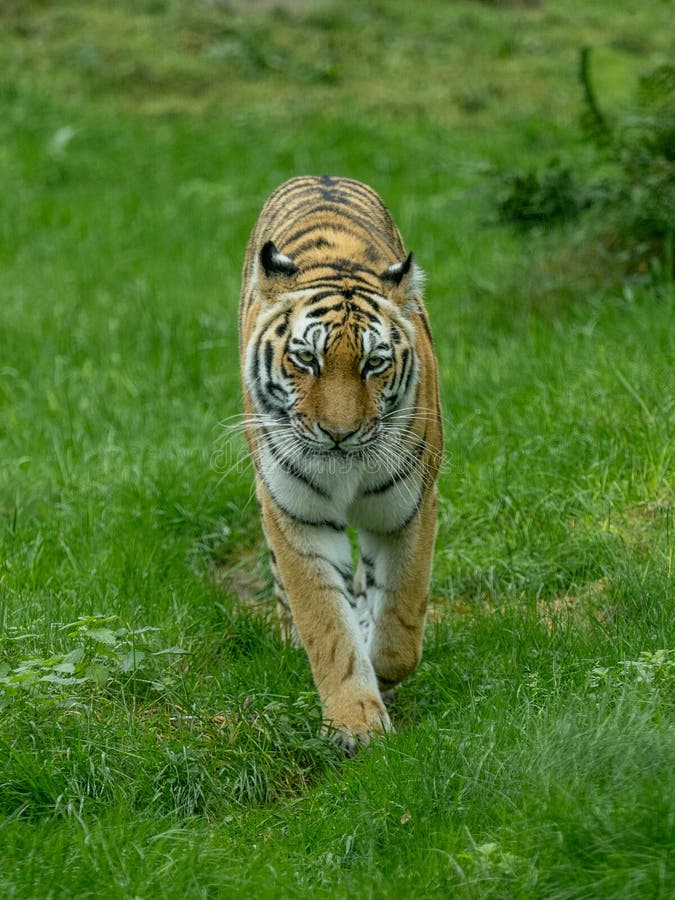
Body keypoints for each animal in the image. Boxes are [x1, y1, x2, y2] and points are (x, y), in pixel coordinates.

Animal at [238, 175, 443, 752]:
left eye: (375, 364)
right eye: (307, 358)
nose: (338, 434)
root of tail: (319, 175)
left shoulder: (409, 507)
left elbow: (401, 617)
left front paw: (382, 671)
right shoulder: (296, 515)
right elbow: (327, 627)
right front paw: (356, 724)